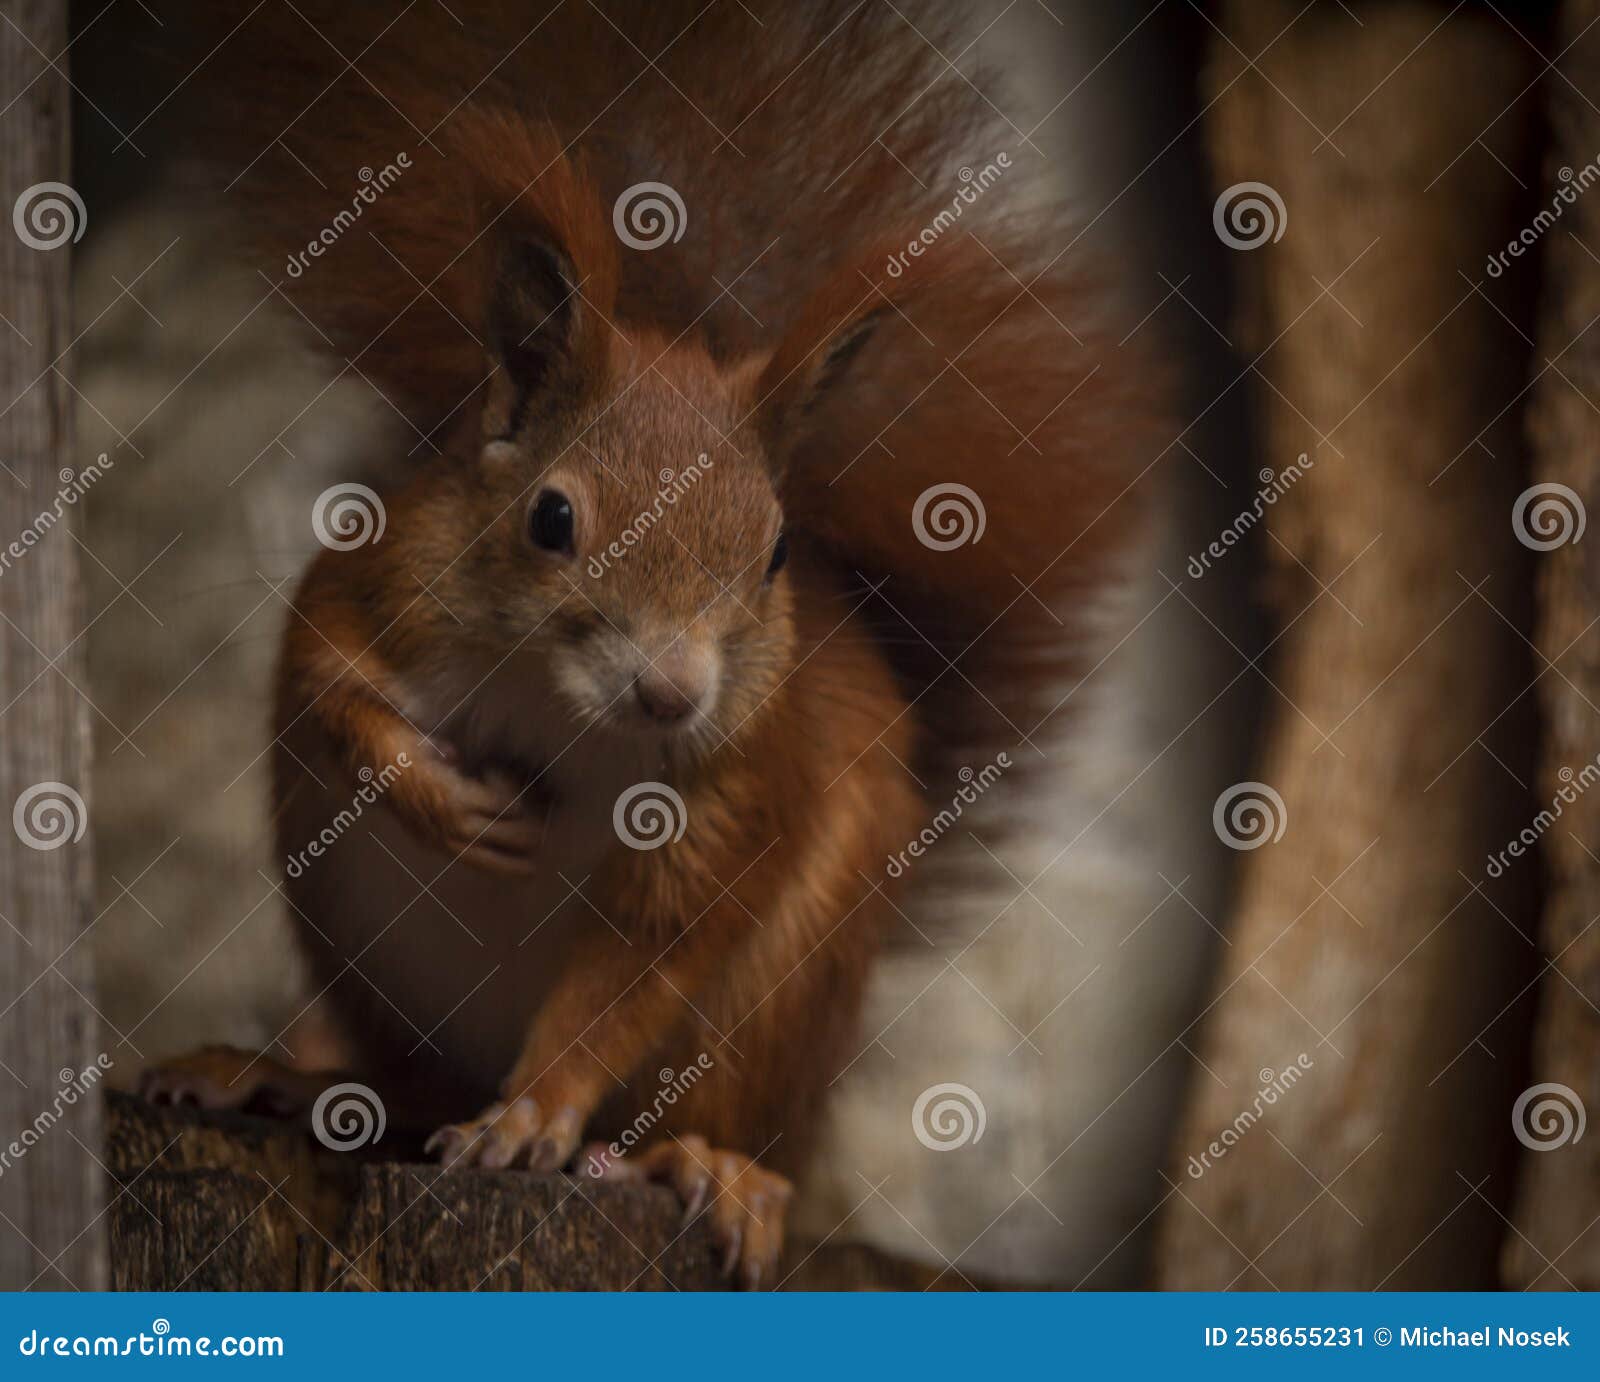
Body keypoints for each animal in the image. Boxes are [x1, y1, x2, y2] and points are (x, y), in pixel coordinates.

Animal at [135, 1, 1162, 1286]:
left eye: (776, 553)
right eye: (550, 519)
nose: (673, 692)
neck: (559, 702)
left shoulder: (734, 786)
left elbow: (639, 960)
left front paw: (536, 1111)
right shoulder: (384, 583)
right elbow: (330, 676)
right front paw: (445, 798)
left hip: (773, 1006)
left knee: (685, 1112)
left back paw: (704, 1166)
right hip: (359, 939)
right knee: (415, 1082)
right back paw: (273, 1074)